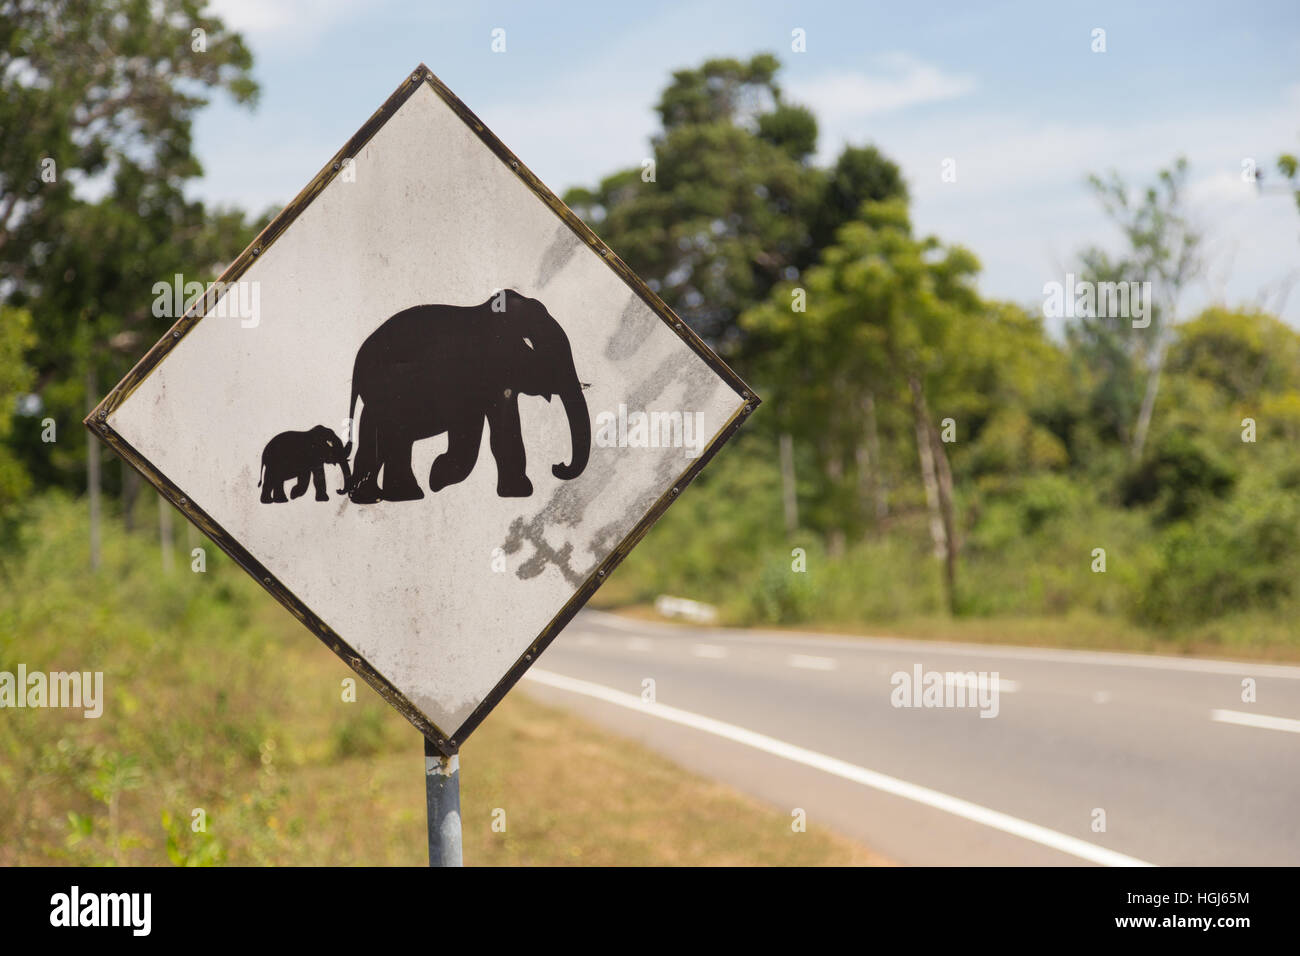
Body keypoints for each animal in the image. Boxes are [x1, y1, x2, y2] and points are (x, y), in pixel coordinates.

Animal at [343, 290, 590, 503]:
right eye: (530, 344)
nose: (557, 466)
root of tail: (357, 365)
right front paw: (438, 477)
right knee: (395, 436)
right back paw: (403, 495)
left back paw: (382, 497)